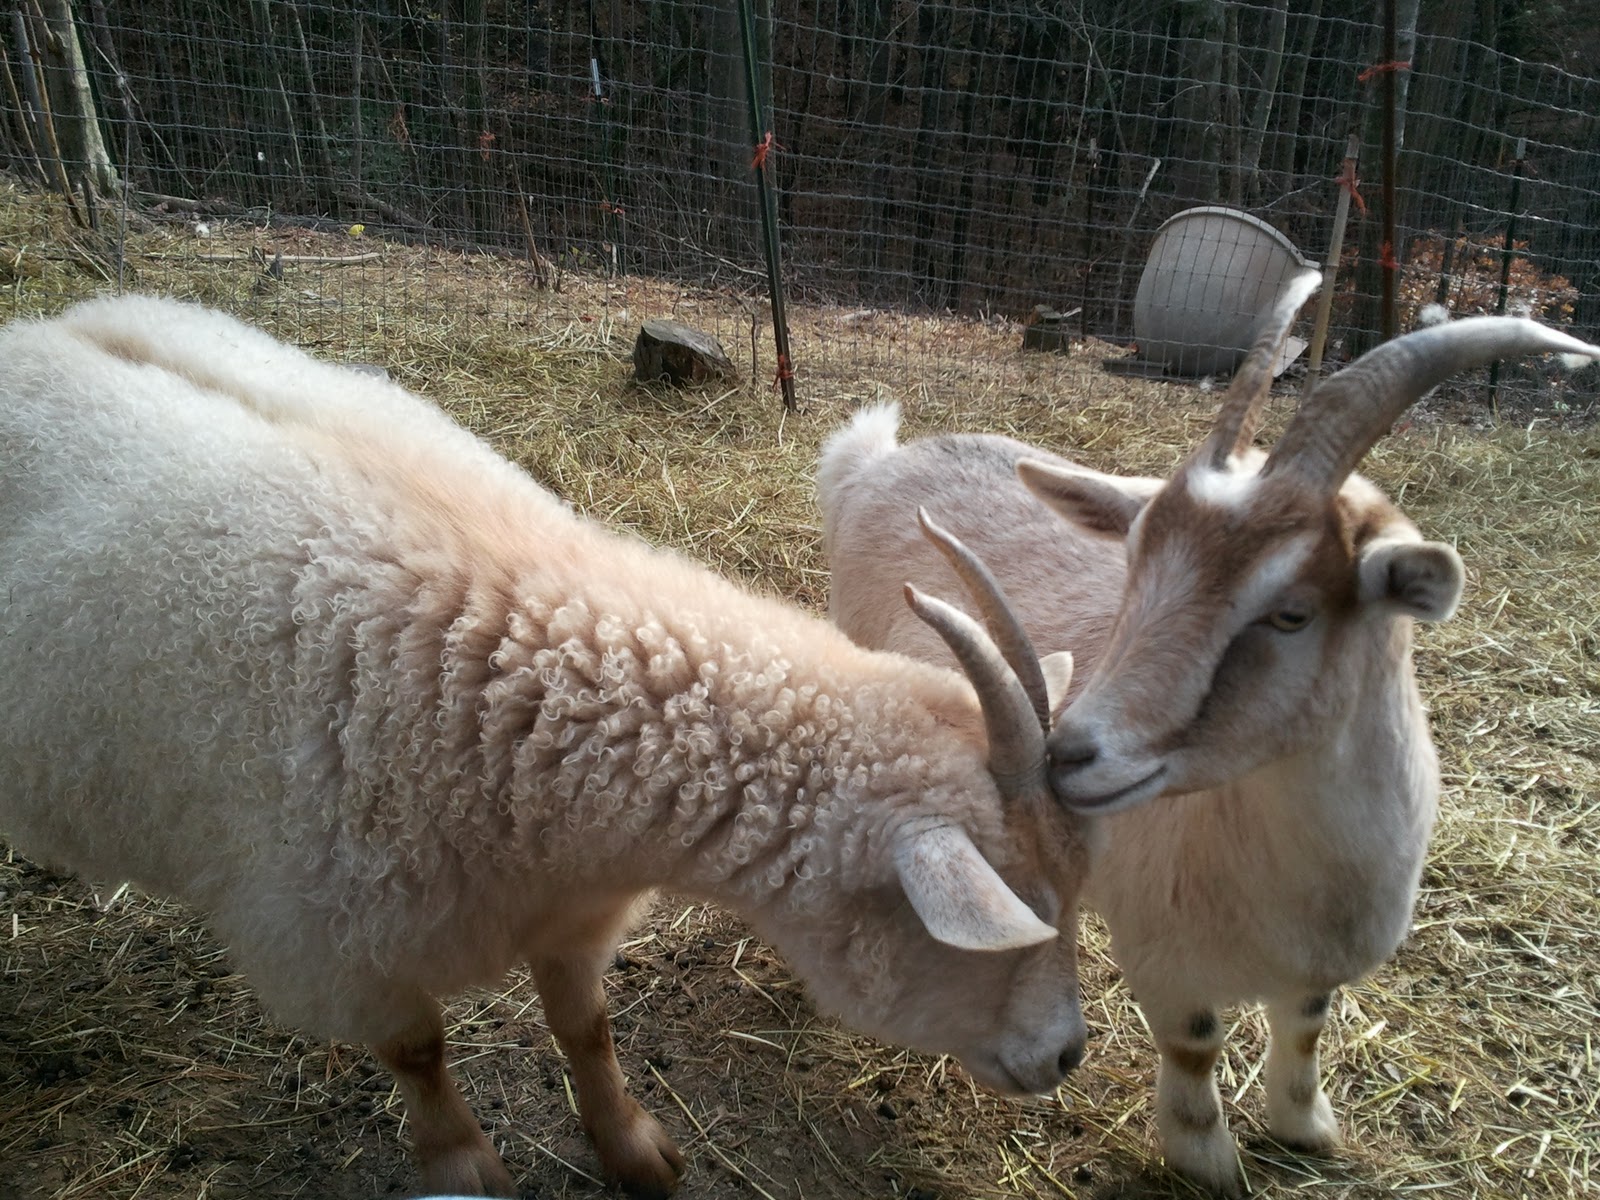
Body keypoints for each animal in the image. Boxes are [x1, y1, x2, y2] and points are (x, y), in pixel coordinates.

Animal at [0, 295, 1099, 1198]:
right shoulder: (336, 940)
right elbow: (419, 1053)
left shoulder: (571, 908)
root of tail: (44, 326)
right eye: (1014, 909)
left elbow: (586, 1026)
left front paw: (634, 1147)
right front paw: (462, 1167)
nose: (1066, 1059)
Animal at [816, 272, 1600, 1194]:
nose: (1067, 754)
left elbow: (1305, 1028)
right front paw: (1207, 1159)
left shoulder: (1313, 970)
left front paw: (1306, 1128)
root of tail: (879, 460)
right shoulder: (1165, 954)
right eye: (1135, 569)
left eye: (1292, 612)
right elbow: (1194, 1046)